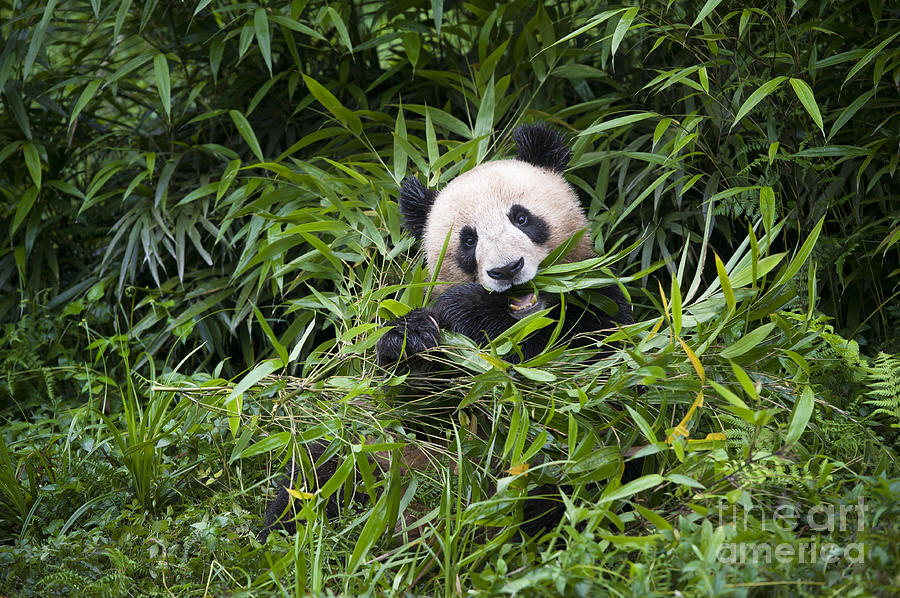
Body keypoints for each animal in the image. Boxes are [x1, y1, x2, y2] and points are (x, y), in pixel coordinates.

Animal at [259, 123, 635, 543]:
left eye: (521, 218)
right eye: (468, 240)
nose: (507, 270)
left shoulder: (598, 307)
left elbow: (584, 375)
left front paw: (465, 307)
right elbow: (416, 406)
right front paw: (413, 339)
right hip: (366, 457)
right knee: (317, 474)